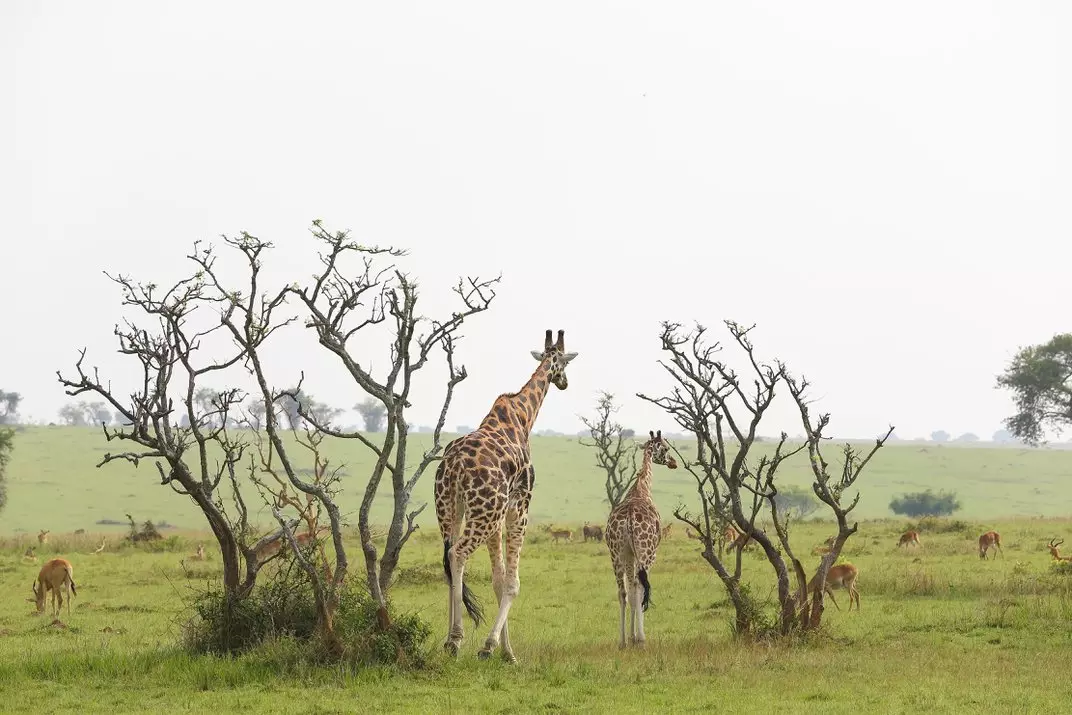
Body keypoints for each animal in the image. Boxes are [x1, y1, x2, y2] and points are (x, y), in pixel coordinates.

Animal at [433, 328, 578, 664]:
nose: (564, 382)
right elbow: (512, 583)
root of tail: (454, 465)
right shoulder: (519, 506)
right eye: (565, 363)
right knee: (457, 553)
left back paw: (448, 640)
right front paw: (491, 646)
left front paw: (507, 652)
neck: (523, 418)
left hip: (450, 508)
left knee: (447, 562)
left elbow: (498, 580)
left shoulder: (499, 514)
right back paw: (456, 639)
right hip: (483, 512)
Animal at [608, 430, 673, 647]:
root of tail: (628, 517)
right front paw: (637, 637)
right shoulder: (649, 553)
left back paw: (622, 642)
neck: (641, 487)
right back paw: (641, 639)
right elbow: (640, 589)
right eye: (666, 448)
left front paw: (630, 637)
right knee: (640, 586)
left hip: (616, 552)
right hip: (646, 552)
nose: (674, 462)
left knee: (623, 591)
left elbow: (630, 589)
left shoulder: (629, 553)